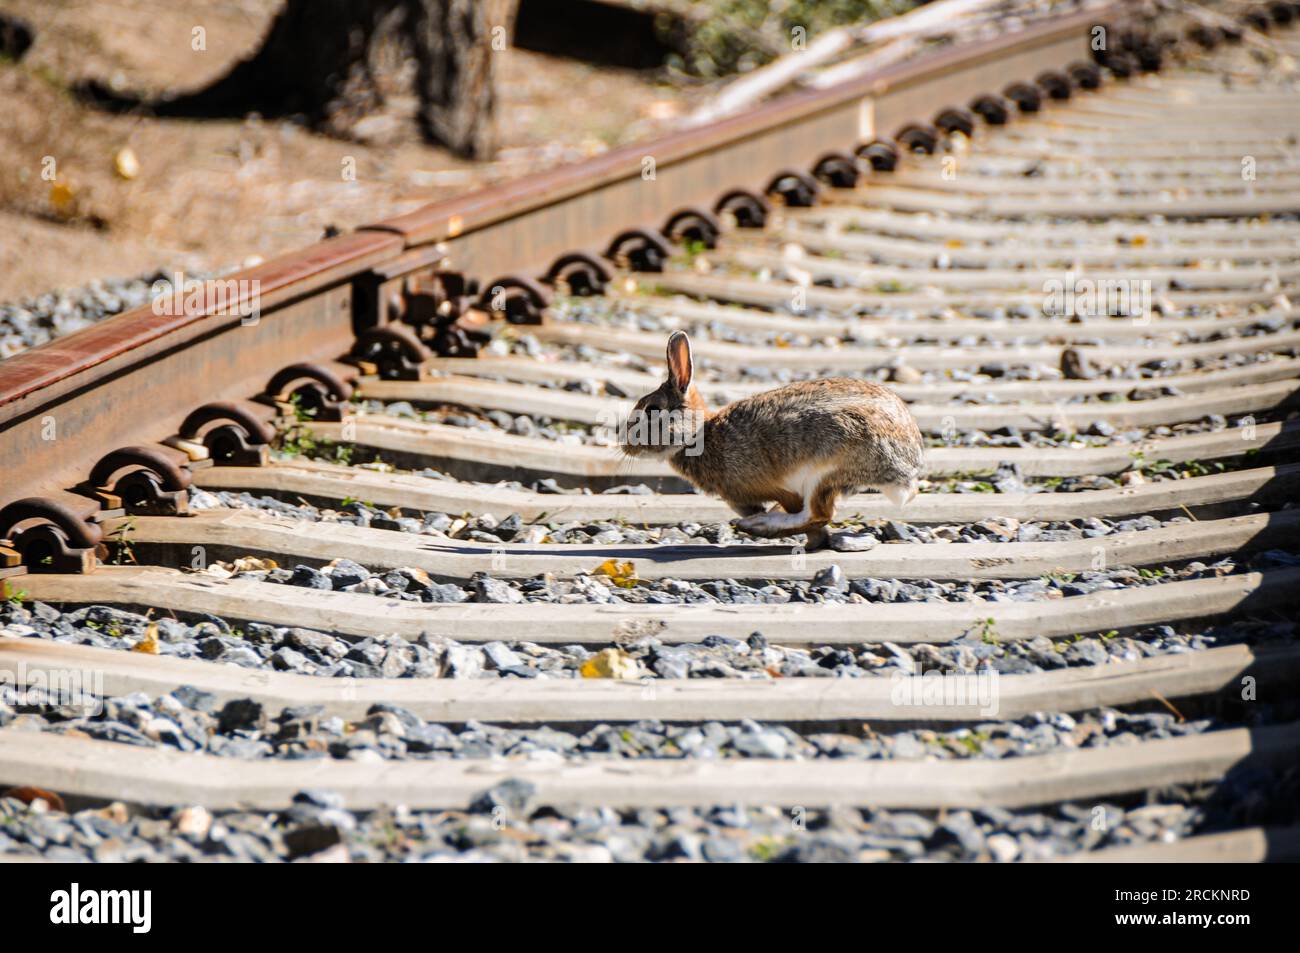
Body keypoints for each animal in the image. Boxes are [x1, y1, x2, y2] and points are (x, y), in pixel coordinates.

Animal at [620, 330, 925, 550]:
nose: (625, 445)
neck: (700, 434)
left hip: (825, 466)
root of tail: (907, 469)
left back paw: (759, 524)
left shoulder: (778, 489)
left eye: (652, 410)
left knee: (817, 512)